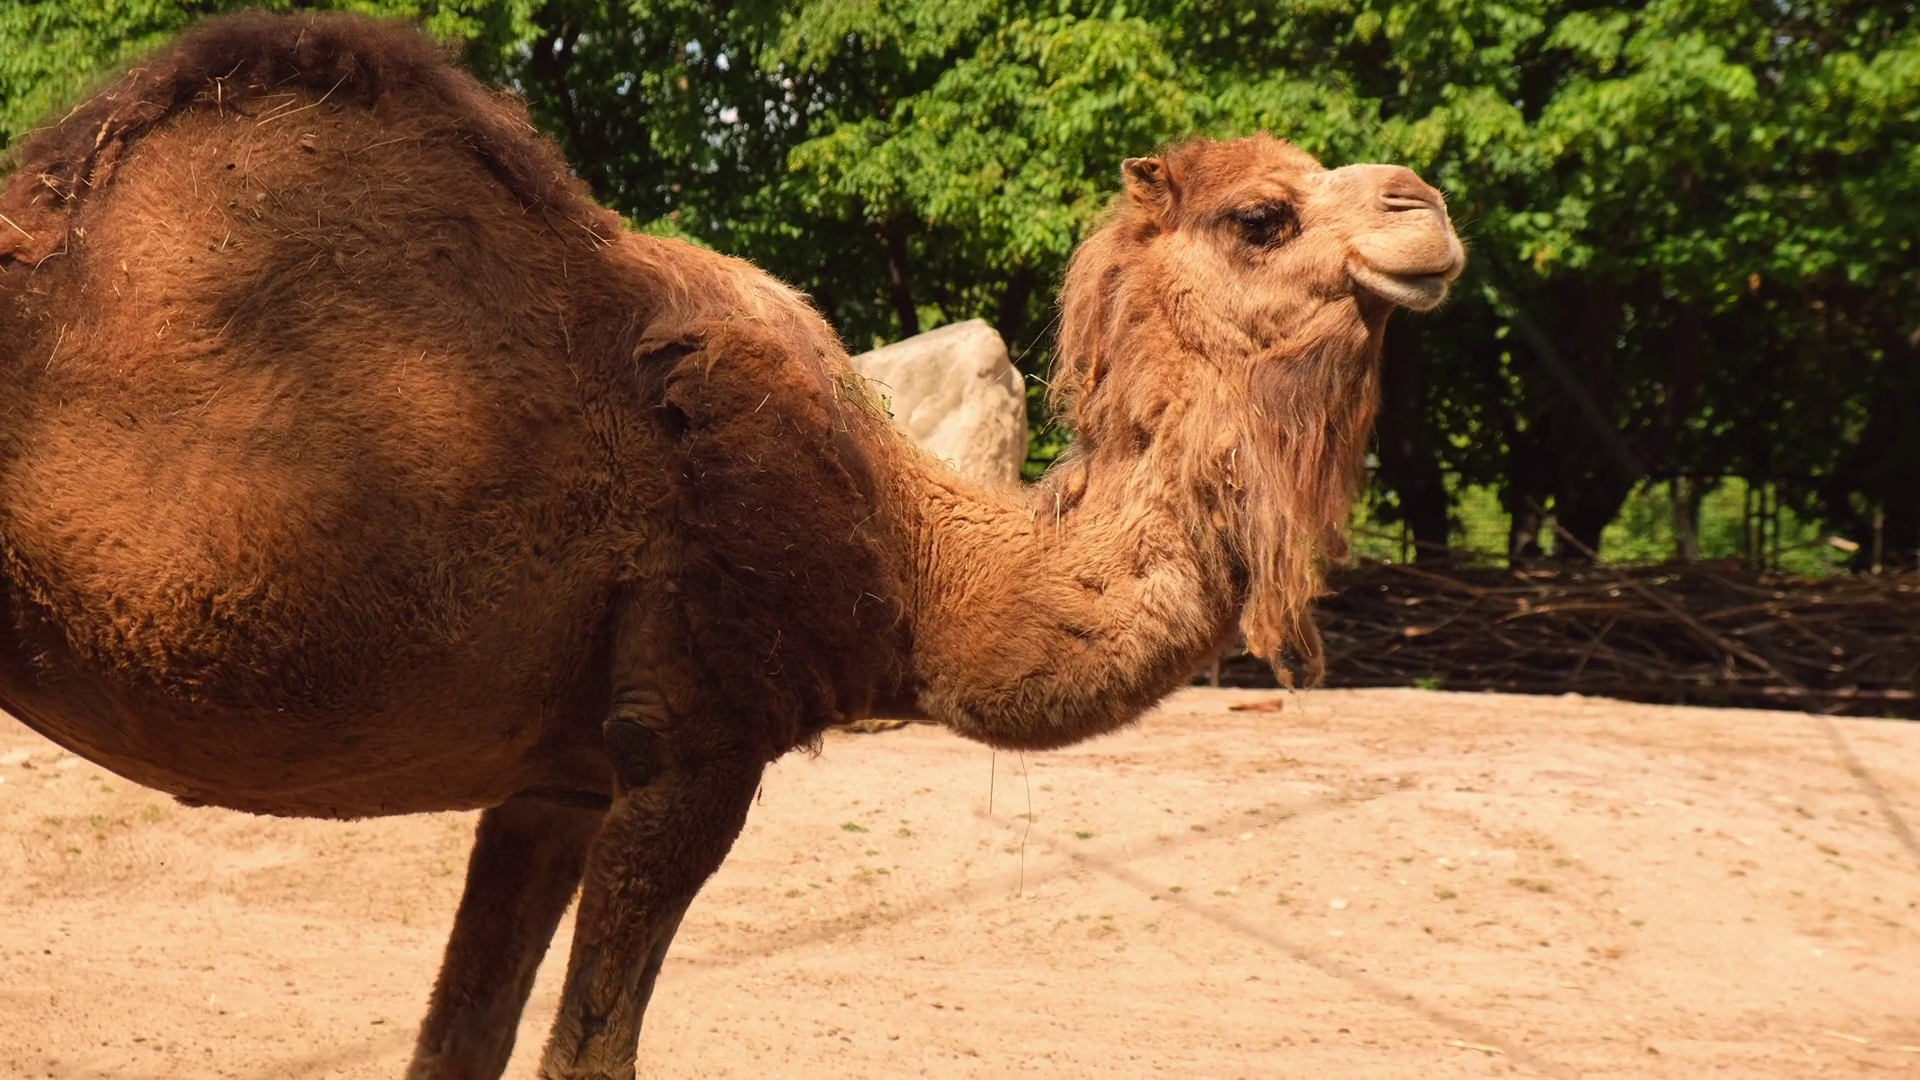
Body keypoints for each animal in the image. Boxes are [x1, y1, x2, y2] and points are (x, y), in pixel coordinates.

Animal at [0, 12, 1463, 1079]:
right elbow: (590, 1060)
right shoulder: (697, 743)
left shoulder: (557, 780)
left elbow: (461, 1045)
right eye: (1261, 217)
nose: (1428, 209)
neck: (912, 569)